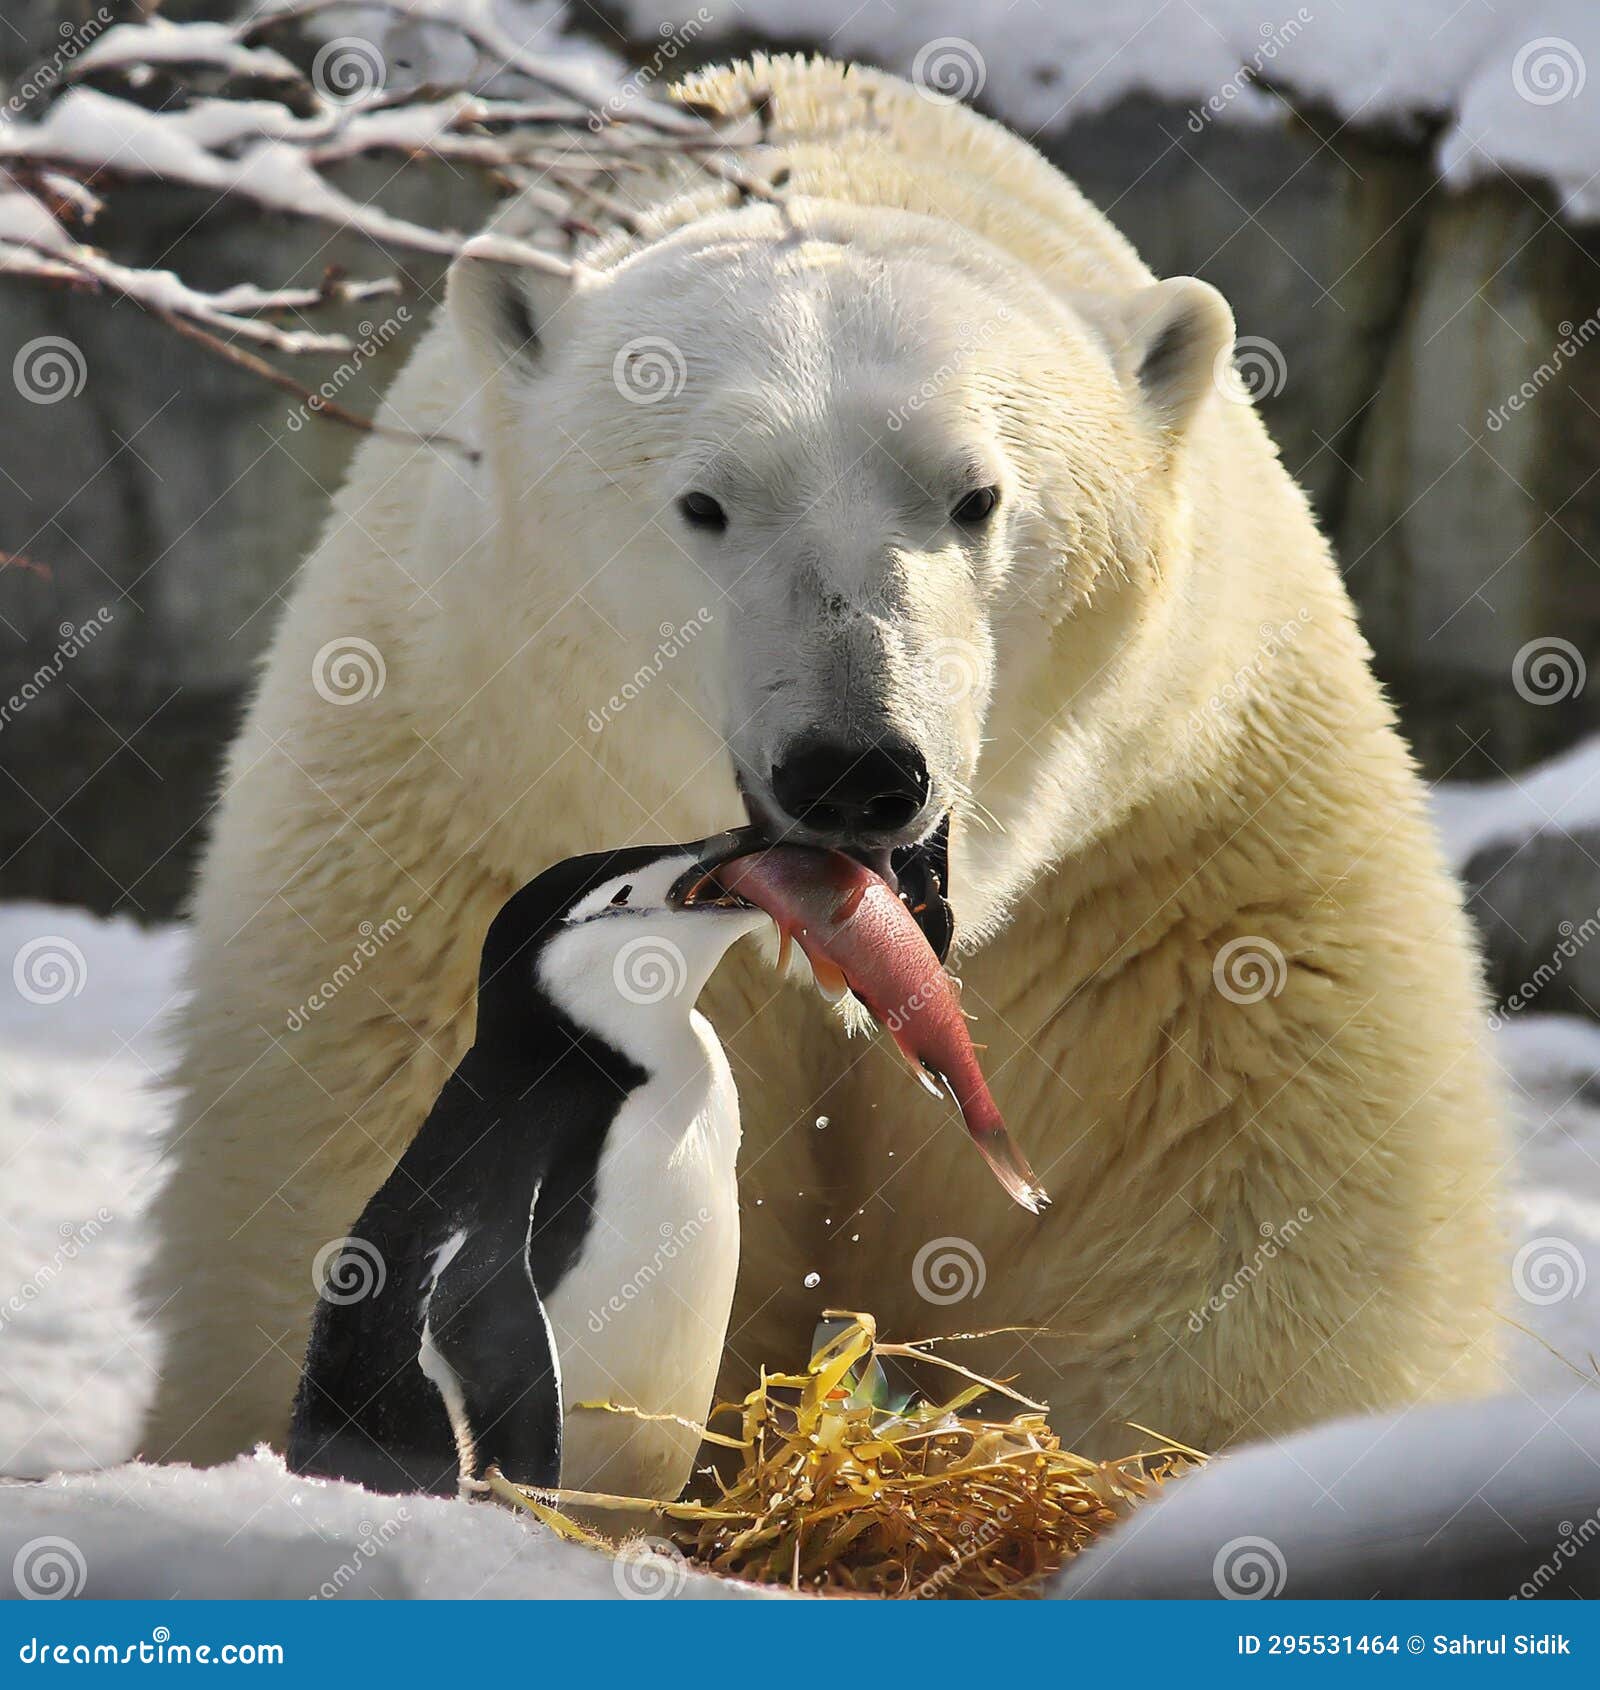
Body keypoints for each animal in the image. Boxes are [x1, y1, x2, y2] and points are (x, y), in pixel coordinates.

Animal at [137, 55, 1507, 1475]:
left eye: (976, 495)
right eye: (703, 503)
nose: (854, 765)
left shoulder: (1178, 868)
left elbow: (1252, 1247)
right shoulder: (462, 806)